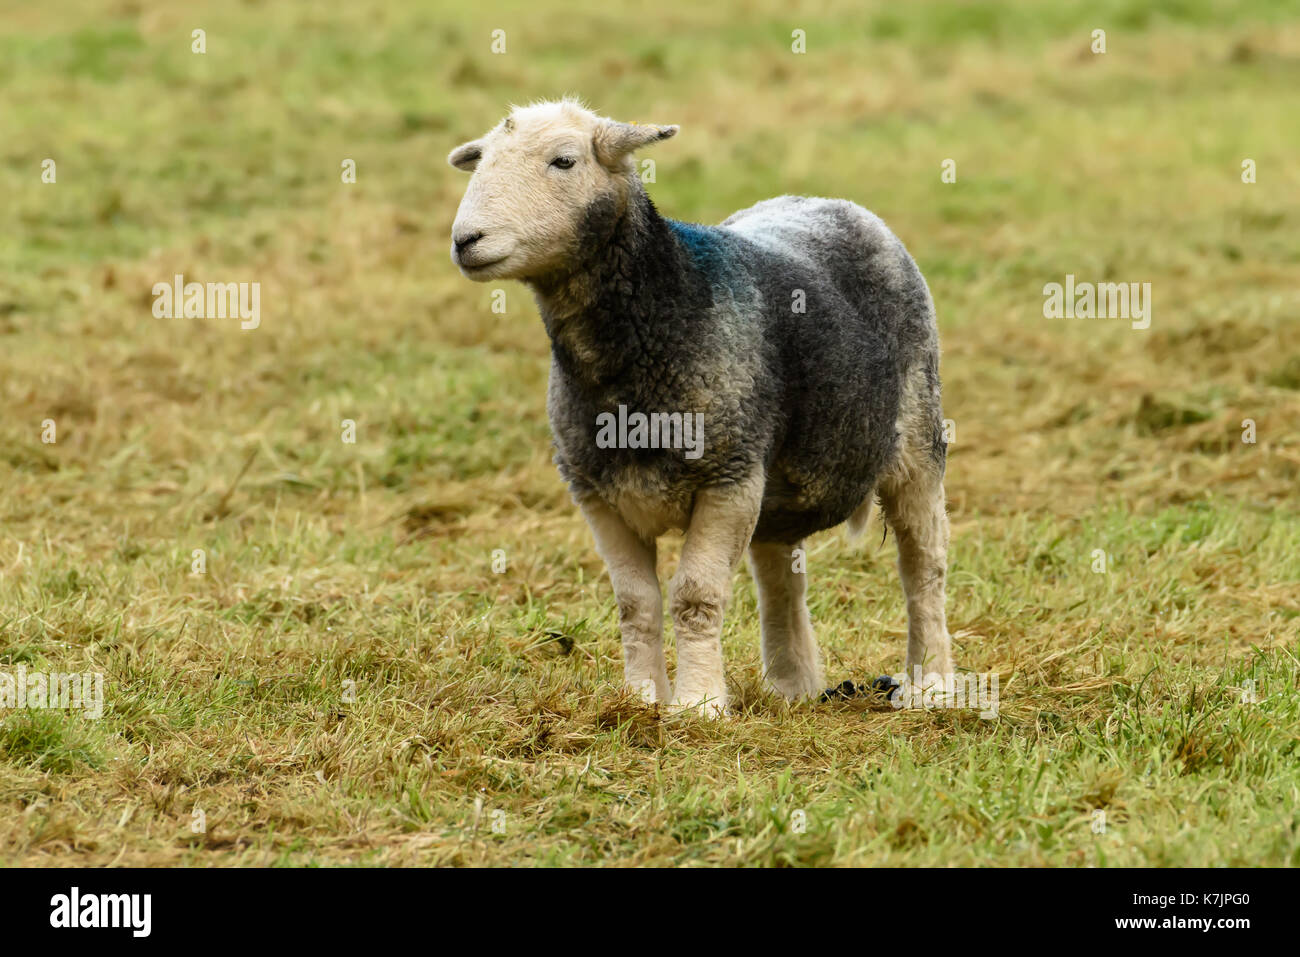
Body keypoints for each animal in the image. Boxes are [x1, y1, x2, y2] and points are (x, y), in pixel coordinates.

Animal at [448, 99, 953, 716]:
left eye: (564, 161)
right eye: (481, 162)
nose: (465, 239)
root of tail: (830, 202)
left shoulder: (727, 478)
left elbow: (695, 596)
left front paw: (699, 707)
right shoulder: (596, 493)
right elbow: (635, 603)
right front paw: (641, 699)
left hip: (917, 433)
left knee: (923, 564)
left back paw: (932, 684)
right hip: (776, 487)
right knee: (781, 578)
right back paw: (794, 688)